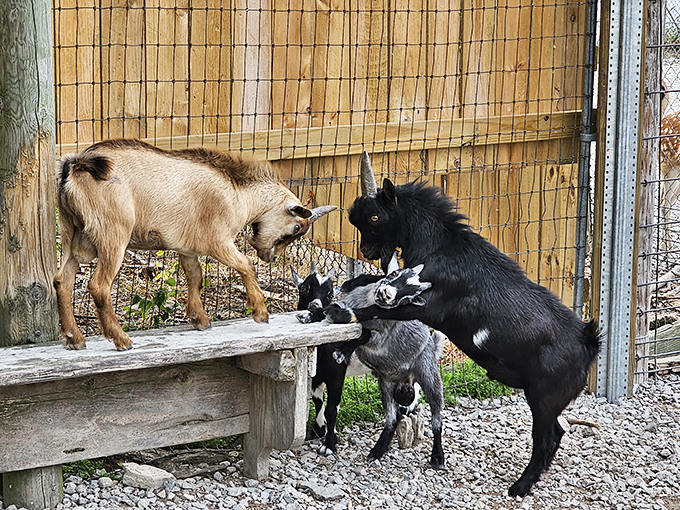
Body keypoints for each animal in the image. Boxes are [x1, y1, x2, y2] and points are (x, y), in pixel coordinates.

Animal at [54, 139, 335, 350]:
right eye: (296, 229)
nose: (272, 257)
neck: (239, 192)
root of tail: (77, 166)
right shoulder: (218, 241)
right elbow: (246, 265)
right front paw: (260, 313)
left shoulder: (187, 249)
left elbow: (195, 277)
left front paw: (200, 319)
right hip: (113, 236)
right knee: (99, 286)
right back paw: (121, 339)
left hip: (73, 235)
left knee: (62, 281)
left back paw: (74, 339)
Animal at [296, 256, 446, 469]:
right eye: (304, 288)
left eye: (329, 293)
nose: (313, 305)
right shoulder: (317, 377)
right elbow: (319, 402)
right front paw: (318, 430)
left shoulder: (337, 375)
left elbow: (332, 409)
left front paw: (329, 444)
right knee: (396, 411)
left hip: (427, 372)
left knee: (433, 411)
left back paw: (436, 454)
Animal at [323, 152, 601, 497]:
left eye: (375, 217)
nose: (365, 251)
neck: (443, 248)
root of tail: (588, 343)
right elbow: (375, 284)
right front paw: (352, 282)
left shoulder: (428, 307)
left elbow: (373, 309)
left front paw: (338, 312)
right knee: (559, 432)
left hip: (544, 396)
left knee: (546, 438)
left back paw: (520, 486)